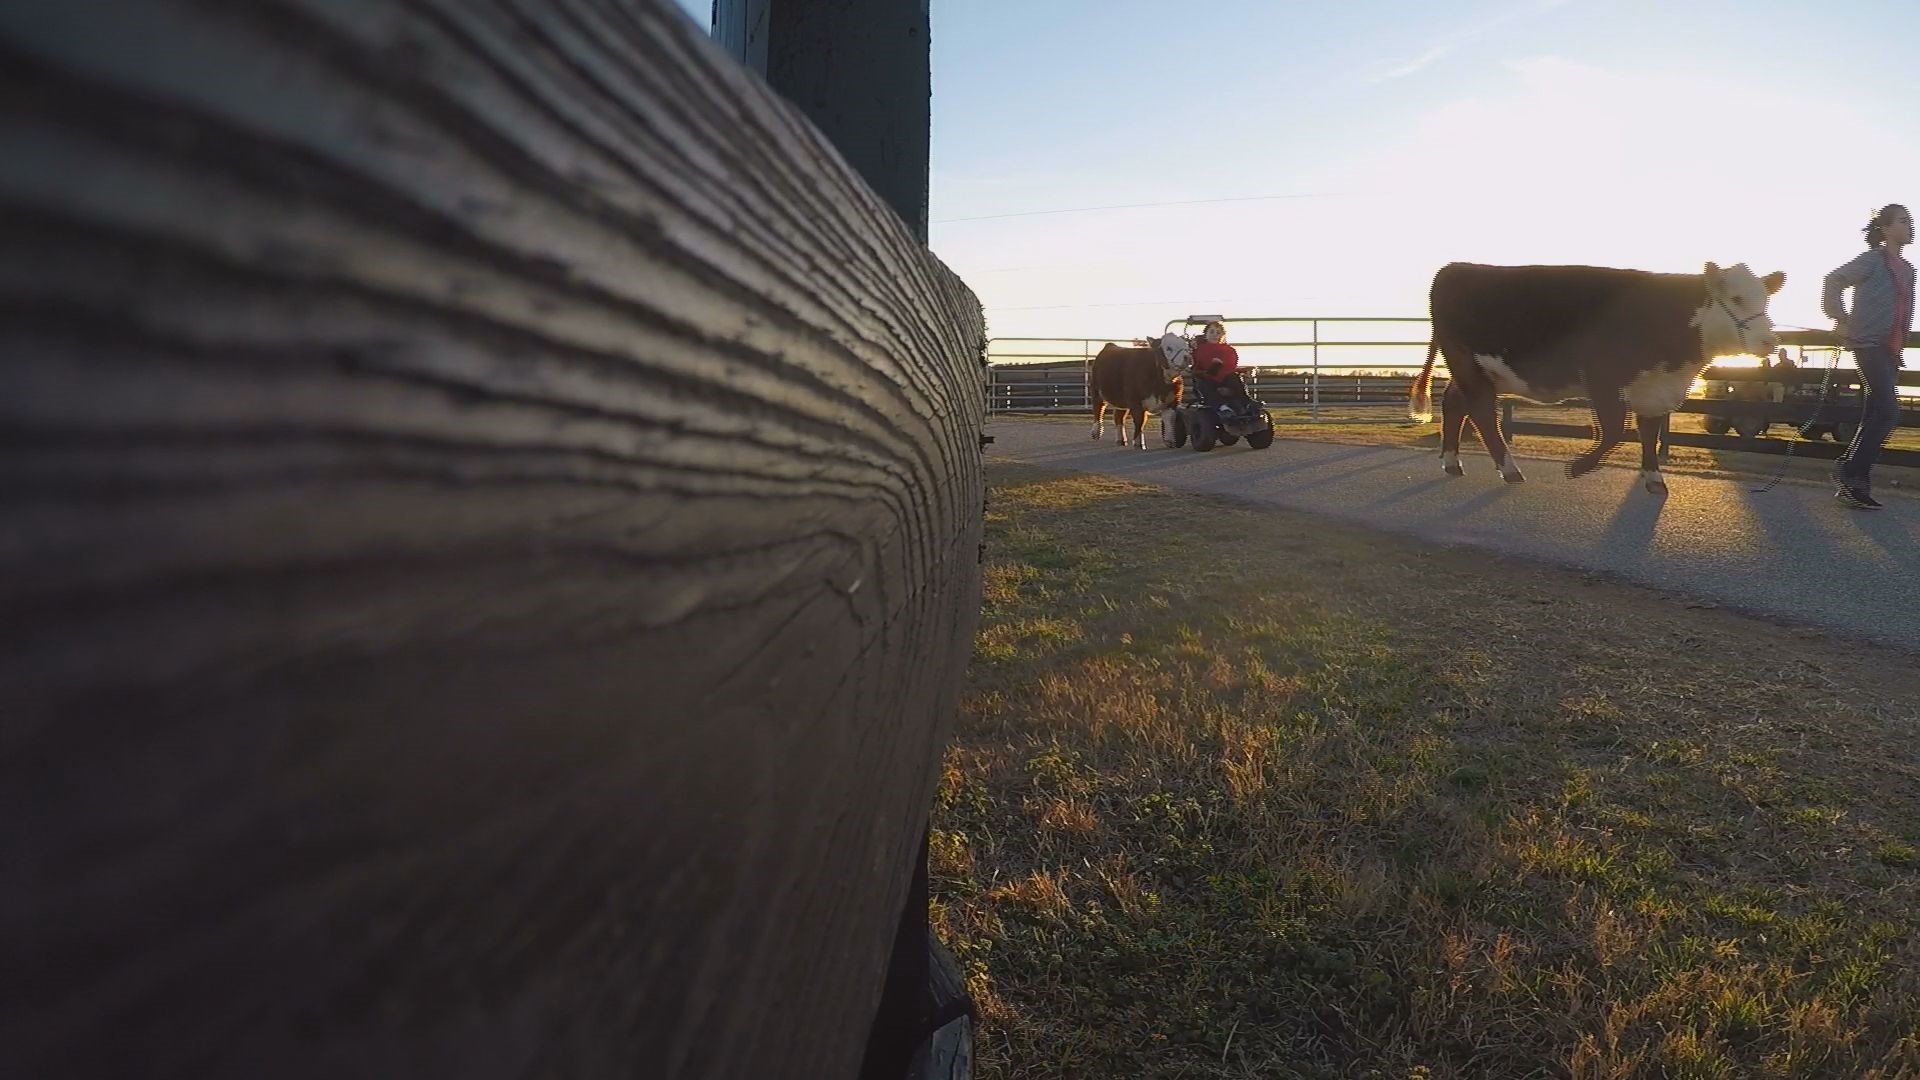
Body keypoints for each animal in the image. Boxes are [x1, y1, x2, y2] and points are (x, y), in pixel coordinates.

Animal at [1411, 260, 1786, 494]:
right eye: (1736, 298)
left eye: (1766, 301)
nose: (1769, 341)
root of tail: (1455, 267)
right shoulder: (1603, 379)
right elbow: (1614, 431)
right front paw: (1577, 468)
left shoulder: (1655, 388)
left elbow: (1649, 433)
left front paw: (1654, 479)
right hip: (1467, 364)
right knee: (1482, 413)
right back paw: (1509, 469)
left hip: (1478, 371)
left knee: (1455, 403)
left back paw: (1452, 462)